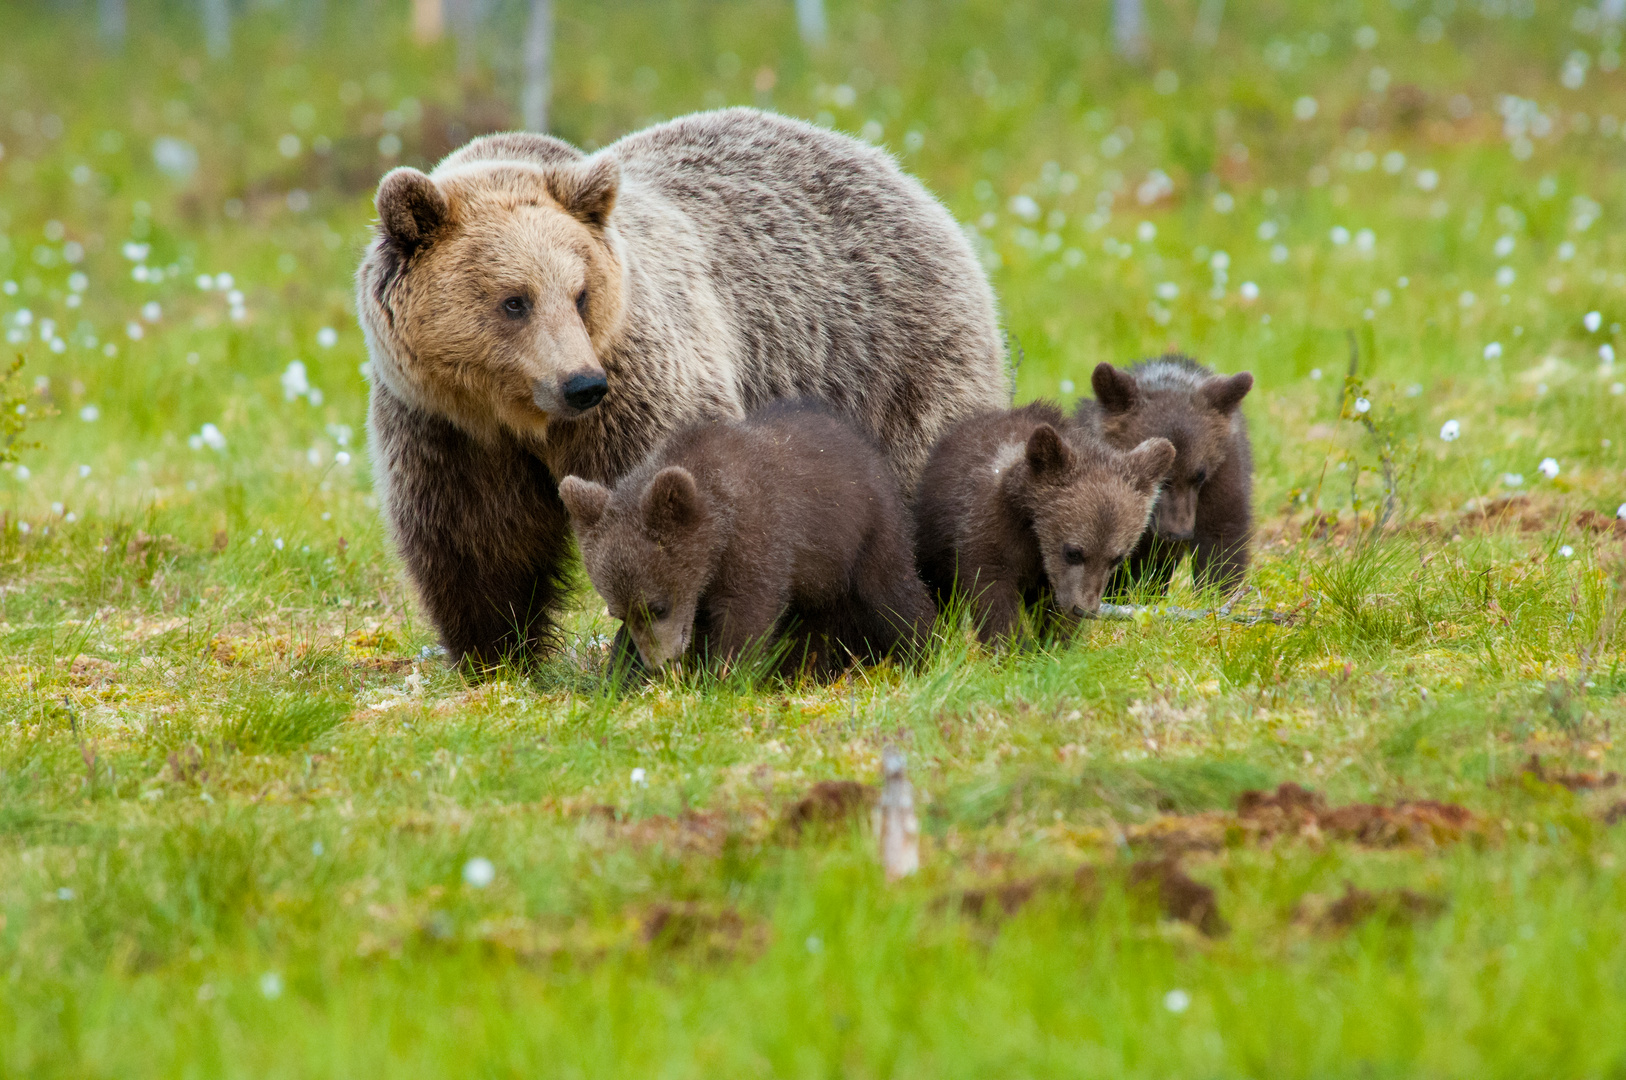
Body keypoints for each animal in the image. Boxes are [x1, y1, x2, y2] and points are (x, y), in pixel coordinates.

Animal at [362, 111, 1008, 666]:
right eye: (513, 300)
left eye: (580, 293)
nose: (582, 384)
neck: (521, 419)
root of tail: (895, 169)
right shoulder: (444, 430)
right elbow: (474, 545)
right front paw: (496, 655)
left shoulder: (638, 390)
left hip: (888, 360)